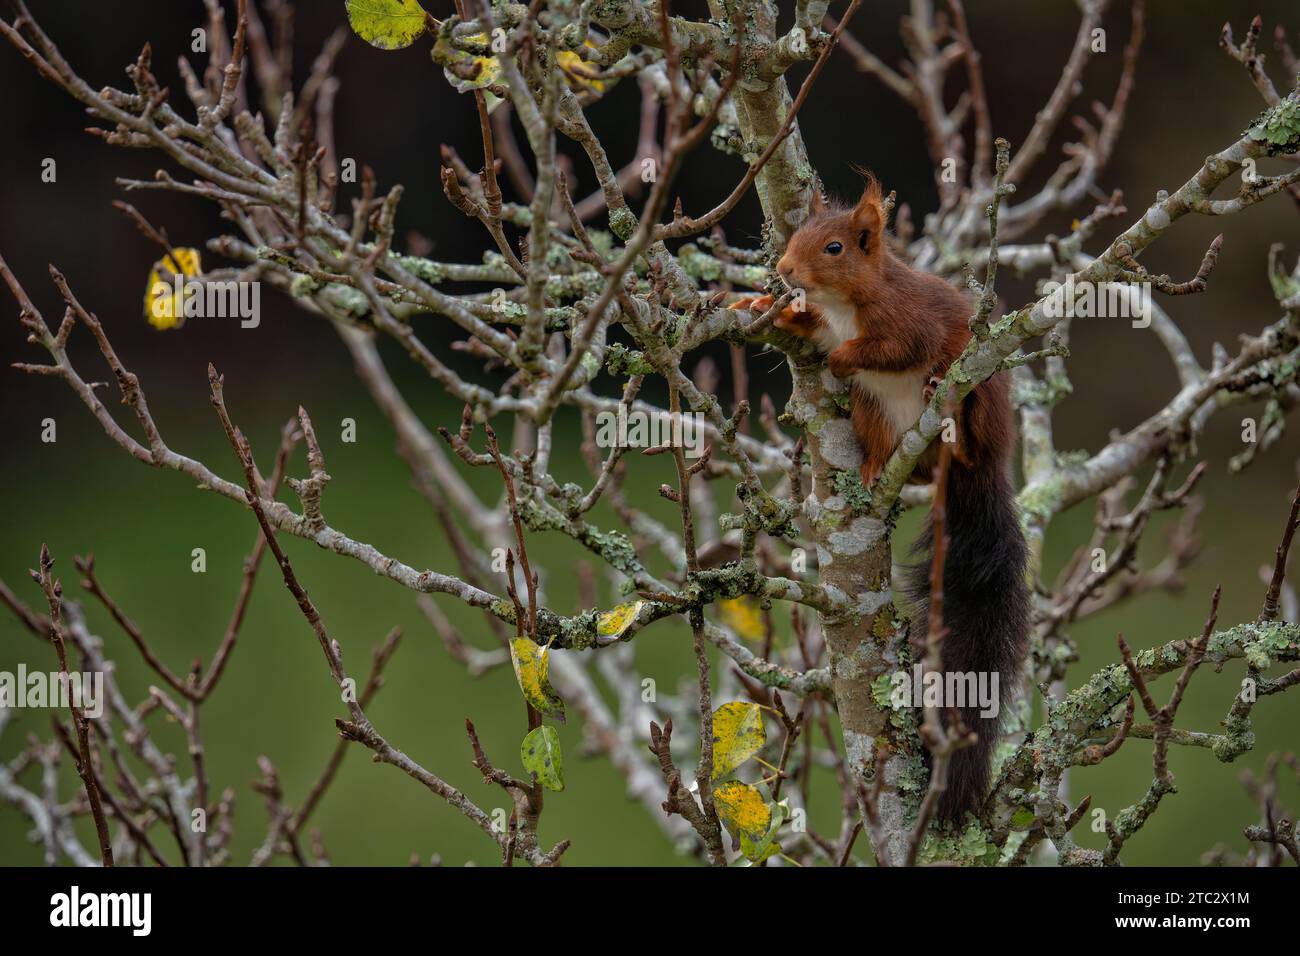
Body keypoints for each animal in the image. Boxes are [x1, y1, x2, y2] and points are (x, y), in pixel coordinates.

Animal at [732, 175, 1029, 822]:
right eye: (795, 234)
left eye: (835, 248)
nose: (784, 269)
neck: (846, 307)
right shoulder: (824, 324)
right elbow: (808, 330)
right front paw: (757, 307)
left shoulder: (905, 320)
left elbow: (894, 348)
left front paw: (845, 355)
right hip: (875, 415)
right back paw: (873, 469)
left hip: (982, 396)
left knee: (966, 422)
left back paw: (960, 430)